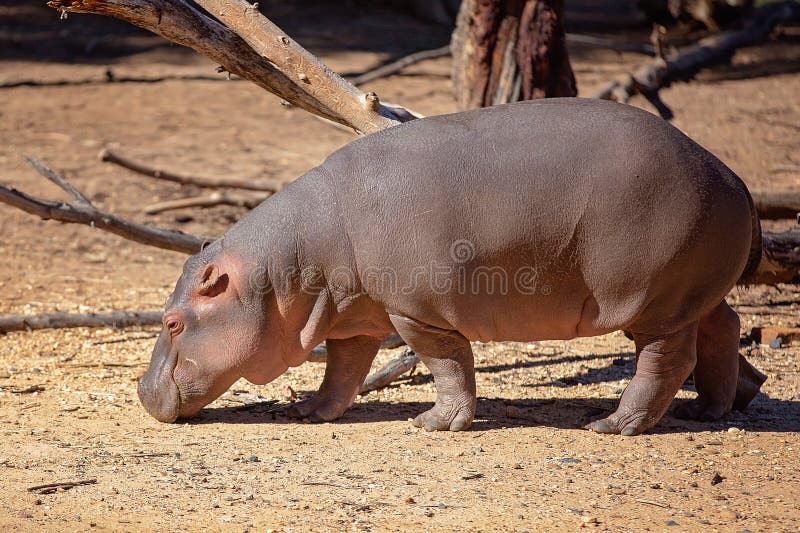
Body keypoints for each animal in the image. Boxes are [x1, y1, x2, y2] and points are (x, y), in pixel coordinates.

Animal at [138, 98, 765, 435]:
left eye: (172, 322)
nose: (141, 392)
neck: (282, 272)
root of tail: (732, 175)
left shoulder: (415, 312)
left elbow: (447, 363)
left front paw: (433, 424)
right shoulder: (354, 315)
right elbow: (342, 369)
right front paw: (309, 412)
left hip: (655, 300)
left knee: (666, 358)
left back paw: (612, 425)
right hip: (696, 292)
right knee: (723, 327)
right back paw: (709, 411)